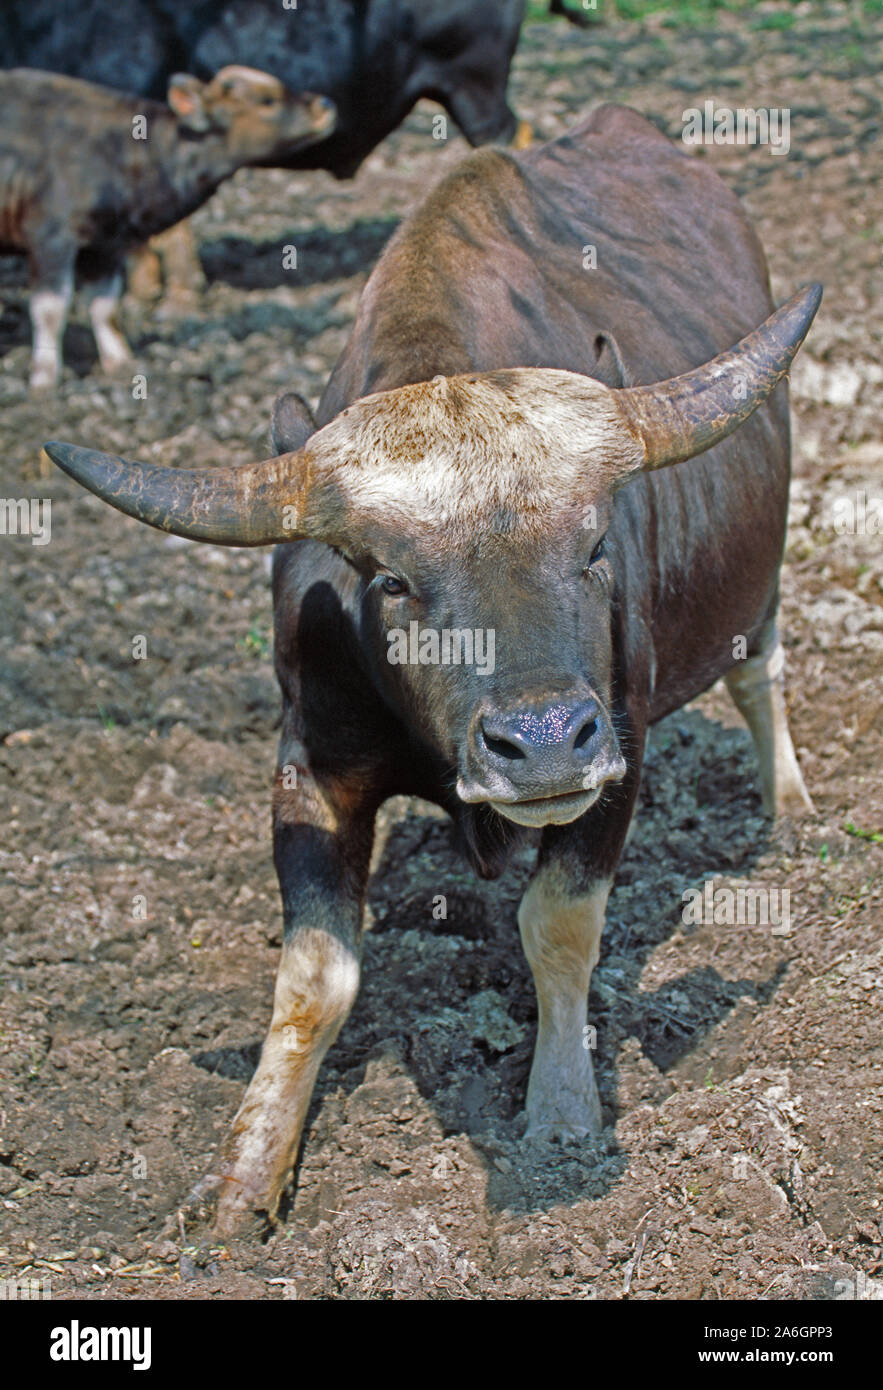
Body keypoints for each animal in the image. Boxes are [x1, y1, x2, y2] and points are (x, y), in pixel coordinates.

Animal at [0, 67, 335, 391]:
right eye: (267, 101)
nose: (325, 105)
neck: (121, 151)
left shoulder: (106, 245)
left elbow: (104, 306)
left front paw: (120, 362)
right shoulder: (51, 241)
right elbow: (50, 311)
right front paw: (44, 378)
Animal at [45, 105, 821, 1237]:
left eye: (593, 547)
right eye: (394, 579)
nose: (541, 741)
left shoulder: (618, 754)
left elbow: (559, 925)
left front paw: (559, 1115)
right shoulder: (311, 765)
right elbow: (314, 976)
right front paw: (242, 1181)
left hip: (751, 596)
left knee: (759, 670)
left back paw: (791, 803)